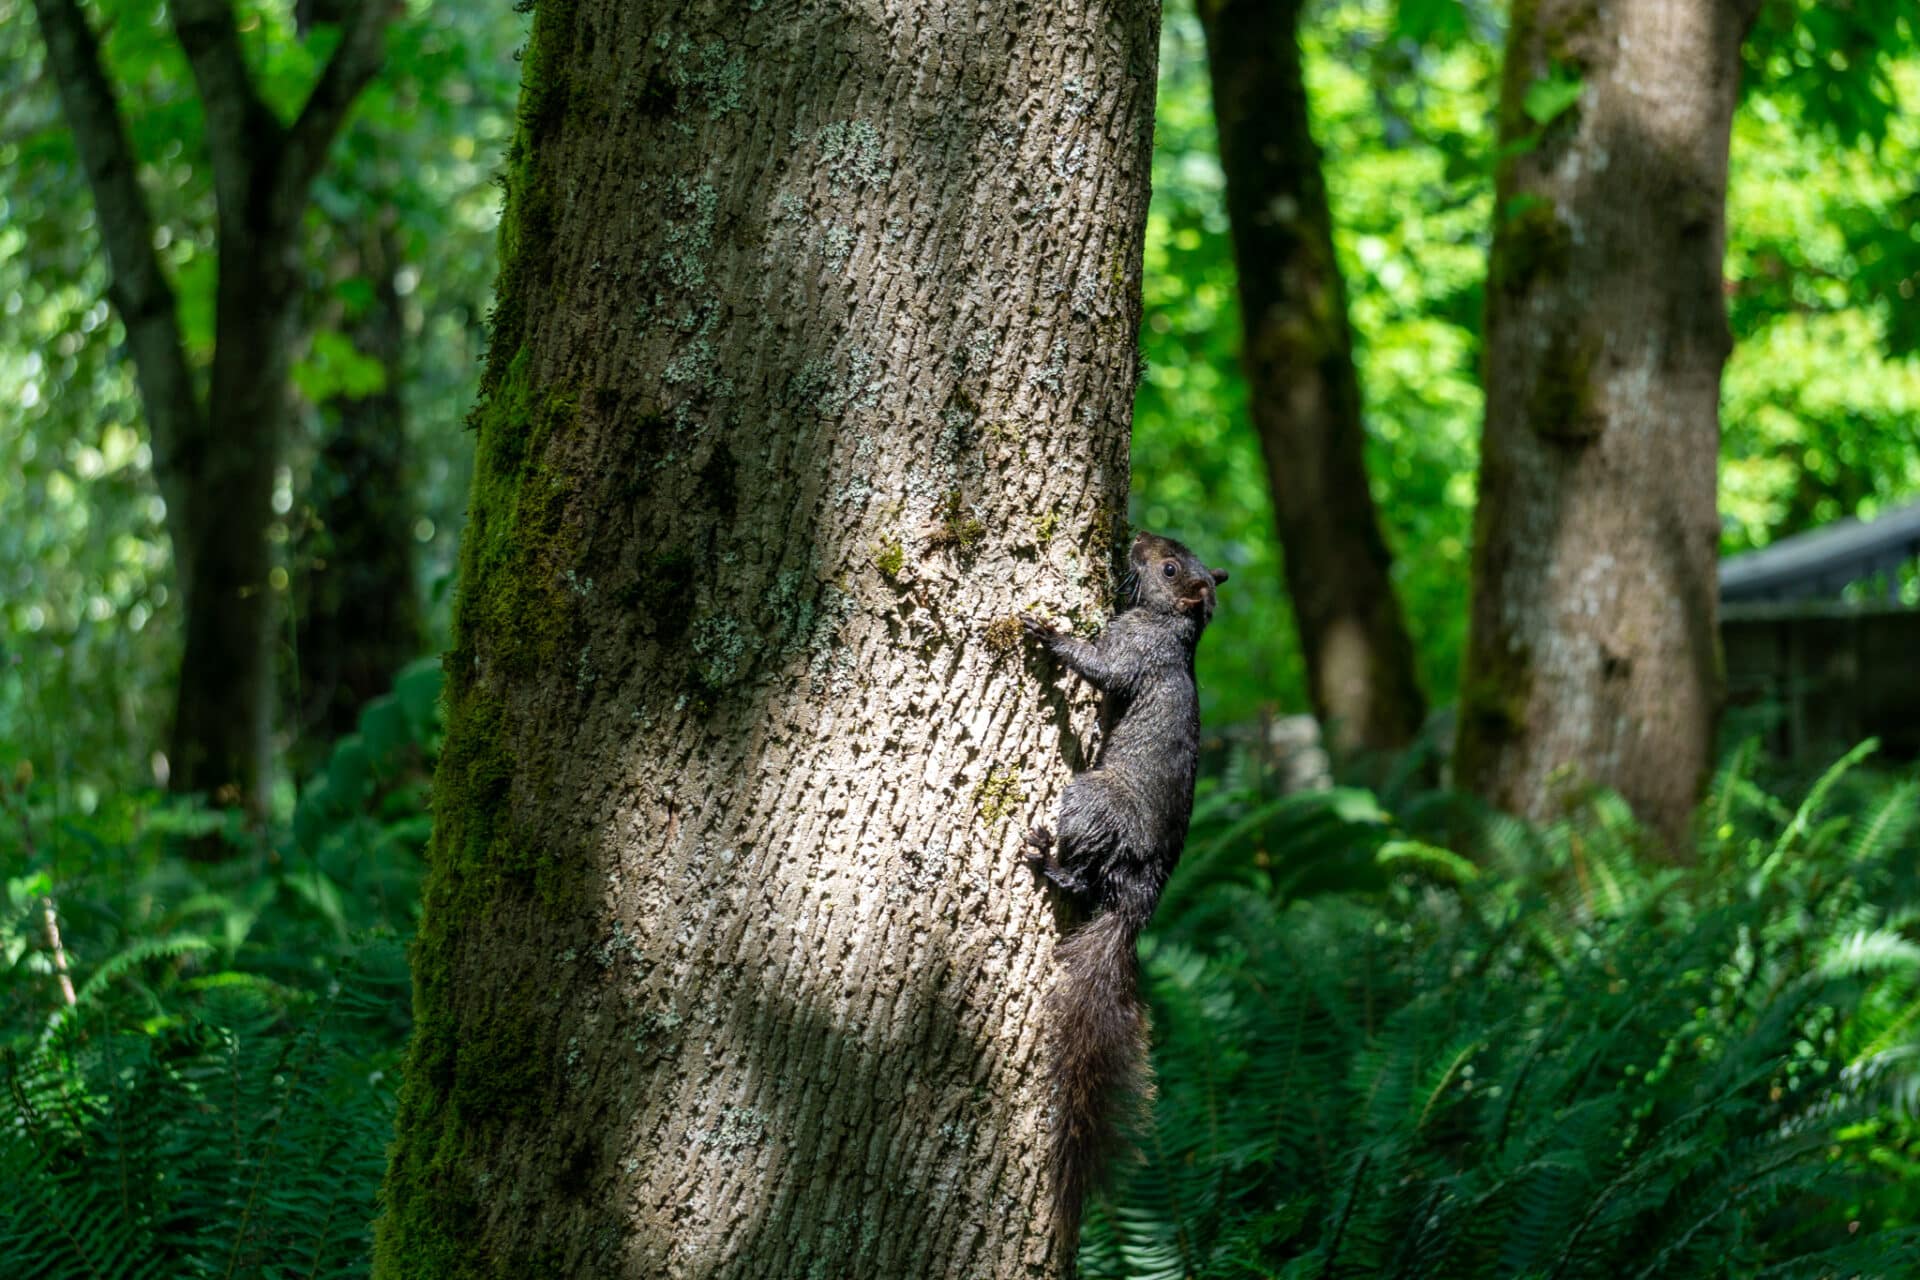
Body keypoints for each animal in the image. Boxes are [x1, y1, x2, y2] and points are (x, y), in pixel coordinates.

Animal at [1020, 529, 1228, 1252]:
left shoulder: (1132, 654)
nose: (1137, 538)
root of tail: (1139, 901)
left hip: (1094, 798)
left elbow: (1100, 668)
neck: (1175, 631)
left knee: (1085, 872)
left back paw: (1049, 864)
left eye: (1167, 568)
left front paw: (1049, 634)